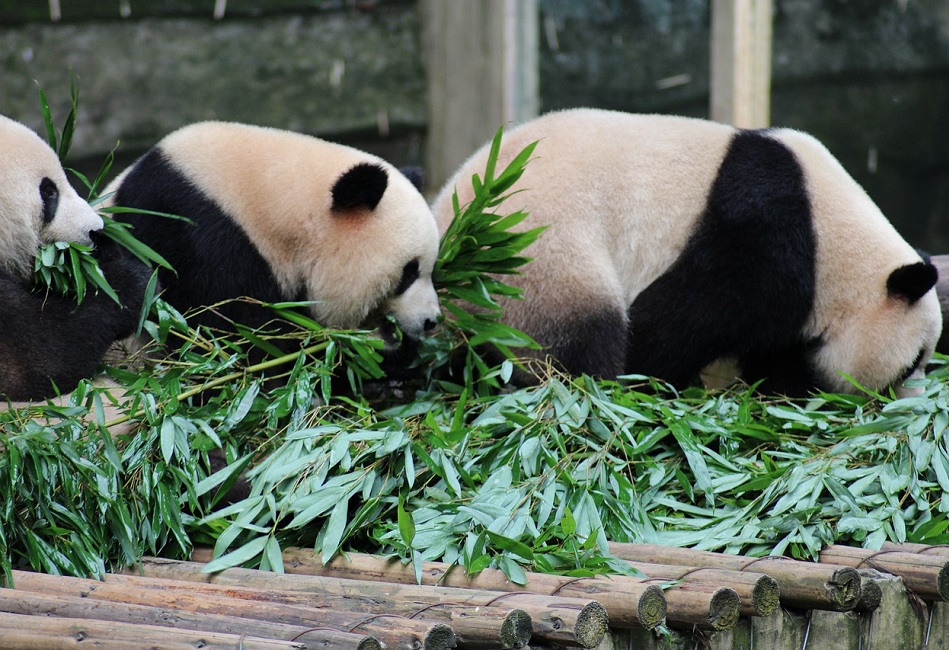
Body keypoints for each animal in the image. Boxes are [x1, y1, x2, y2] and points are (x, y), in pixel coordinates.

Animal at [431, 108, 942, 397]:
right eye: (912, 362)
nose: (911, 400)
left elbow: (776, 354)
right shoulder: (767, 235)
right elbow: (684, 316)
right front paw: (649, 380)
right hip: (540, 259)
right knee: (574, 342)